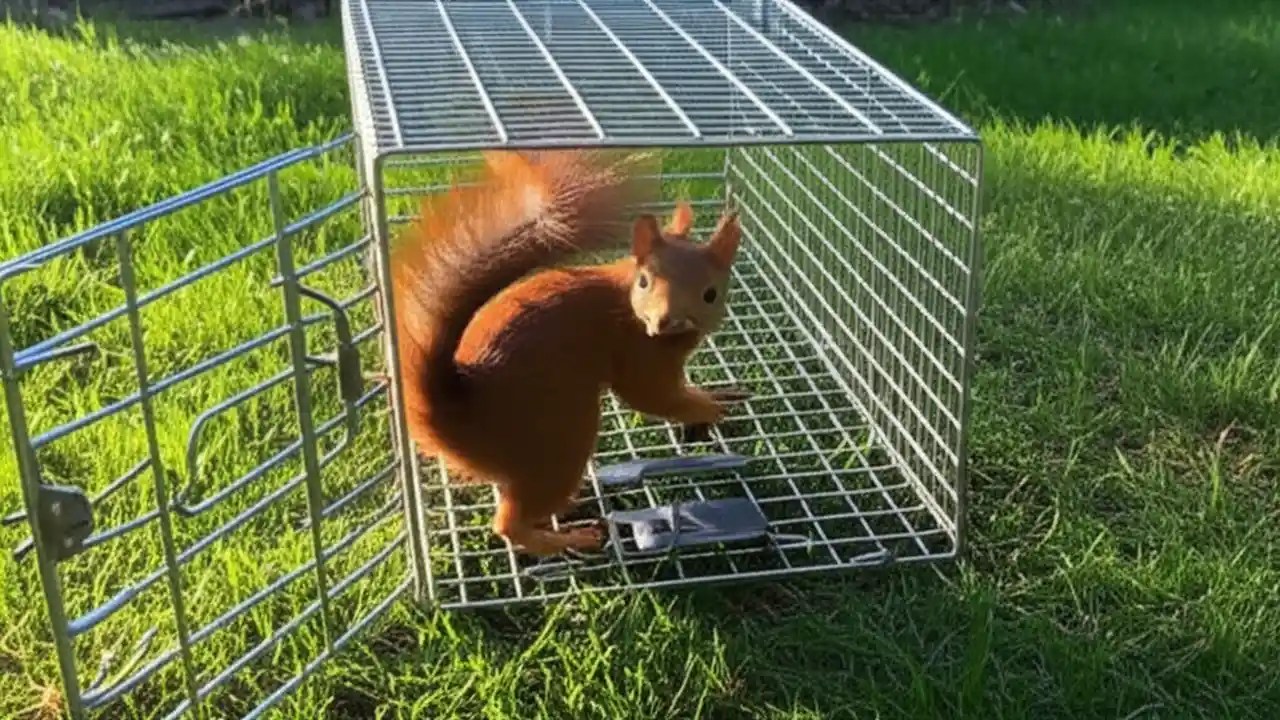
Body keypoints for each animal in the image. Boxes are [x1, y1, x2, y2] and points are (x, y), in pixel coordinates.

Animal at [389, 148, 749, 558]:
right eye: (644, 281)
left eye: (710, 293)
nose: (664, 321)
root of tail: (455, 419)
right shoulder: (637, 353)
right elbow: (653, 397)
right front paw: (708, 407)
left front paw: (716, 395)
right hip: (561, 439)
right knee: (510, 524)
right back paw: (571, 538)